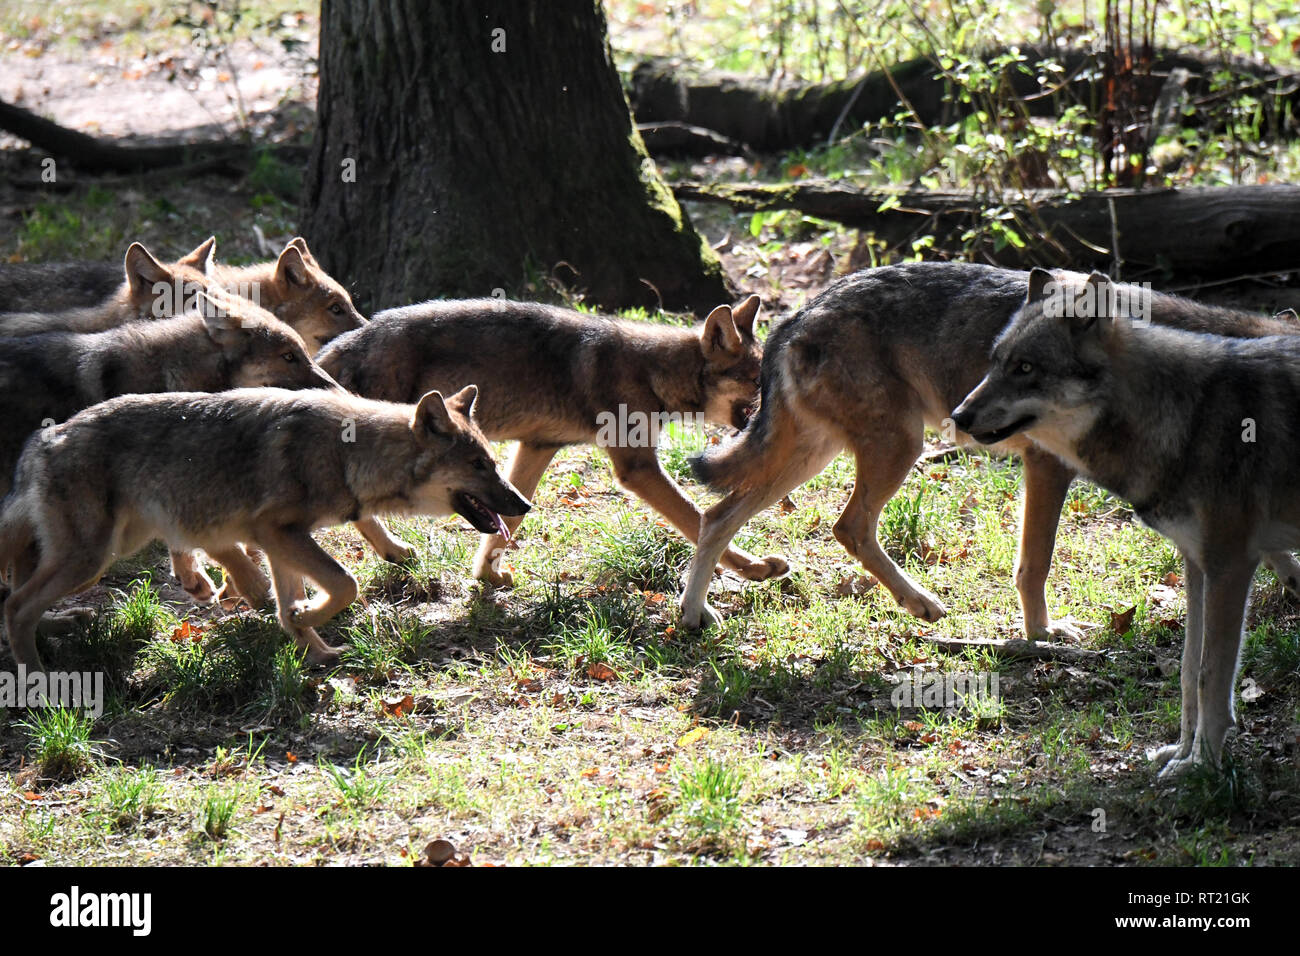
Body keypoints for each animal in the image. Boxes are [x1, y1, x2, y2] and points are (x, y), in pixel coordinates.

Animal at [0, 386, 530, 670]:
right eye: (480, 465)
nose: (525, 503)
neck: (349, 455)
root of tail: (43, 438)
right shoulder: (277, 532)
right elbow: (346, 584)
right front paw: (308, 622)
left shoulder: (276, 541)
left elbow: (290, 601)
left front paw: (314, 650)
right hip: (92, 559)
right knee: (17, 605)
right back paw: (40, 684)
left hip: (106, 552)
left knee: (15, 601)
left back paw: (58, 631)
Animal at [314, 295, 787, 588]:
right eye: (756, 380)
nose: (783, 404)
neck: (652, 369)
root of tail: (336, 348)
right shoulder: (636, 470)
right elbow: (699, 520)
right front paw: (756, 568)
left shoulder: (536, 448)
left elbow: (507, 522)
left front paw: (487, 577)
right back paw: (390, 552)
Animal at [677, 262, 1300, 635]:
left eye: (1021, 366)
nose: (963, 414)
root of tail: (797, 314)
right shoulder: (1047, 465)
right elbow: (1035, 563)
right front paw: (1042, 634)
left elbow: (1270, 547)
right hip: (896, 446)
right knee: (846, 526)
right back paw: (920, 602)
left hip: (815, 457)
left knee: (717, 514)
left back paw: (692, 615)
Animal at [950, 269, 1300, 775]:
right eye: (996, 362)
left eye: (1026, 368)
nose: (958, 416)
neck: (1186, 417)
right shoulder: (1198, 565)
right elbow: (1188, 669)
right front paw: (1182, 751)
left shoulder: (1230, 565)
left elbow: (1210, 675)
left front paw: (1202, 768)